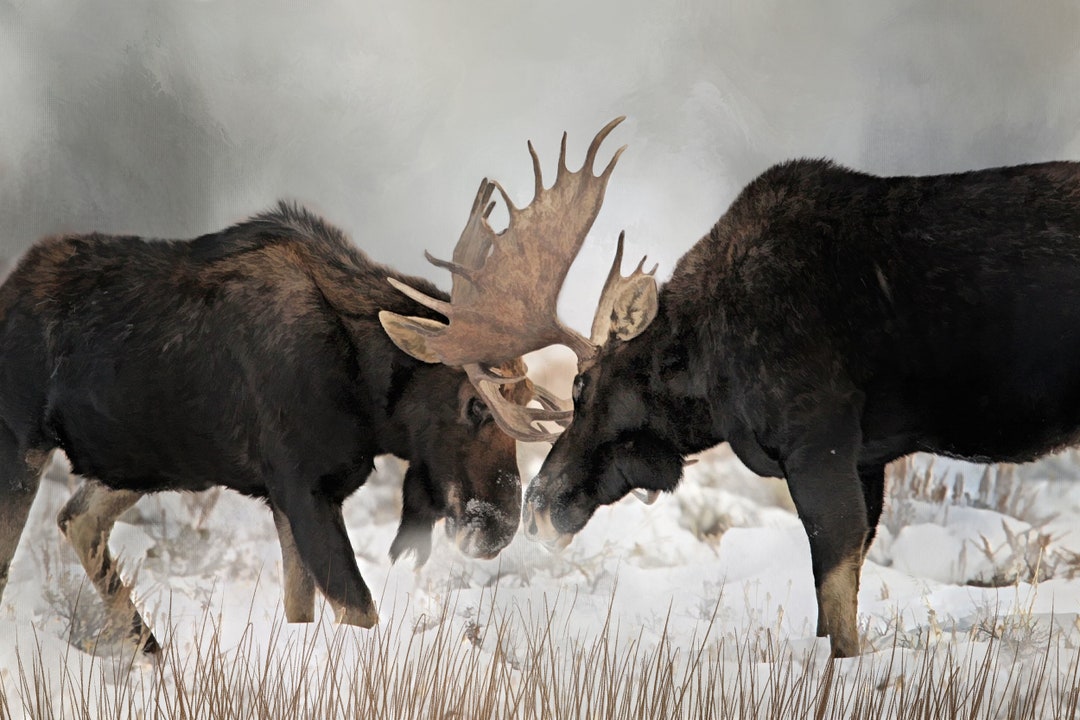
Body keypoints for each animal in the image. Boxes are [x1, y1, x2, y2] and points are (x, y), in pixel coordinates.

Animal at [0, 201, 553, 653]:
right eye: (475, 404)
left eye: (527, 397)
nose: (501, 526)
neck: (366, 395)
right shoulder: (302, 488)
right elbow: (361, 612)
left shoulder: (290, 498)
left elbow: (301, 610)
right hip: (23, 444)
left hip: (144, 463)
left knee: (77, 518)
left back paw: (152, 653)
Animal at [384, 118, 1080, 658]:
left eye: (582, 385)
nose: (537, 505)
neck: (712, 373)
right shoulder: (870, 459)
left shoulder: (820, 444)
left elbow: (837, 602)